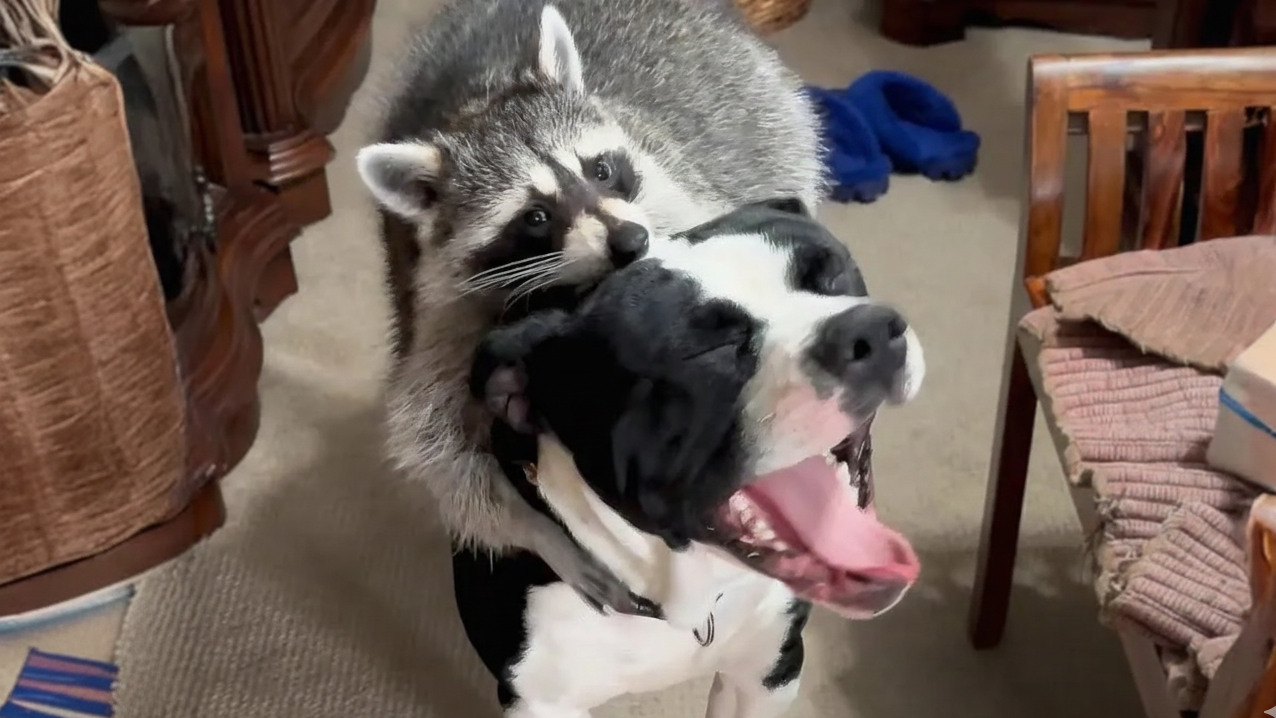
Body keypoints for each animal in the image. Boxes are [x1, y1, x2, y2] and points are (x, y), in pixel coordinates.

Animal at [356, 0, 824, 613]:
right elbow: (436, 447)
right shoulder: (447, 309)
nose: (630, 241)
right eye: (534, 216)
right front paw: (542, 533)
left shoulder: (674, 198)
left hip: (773, 113)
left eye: (599, 169)